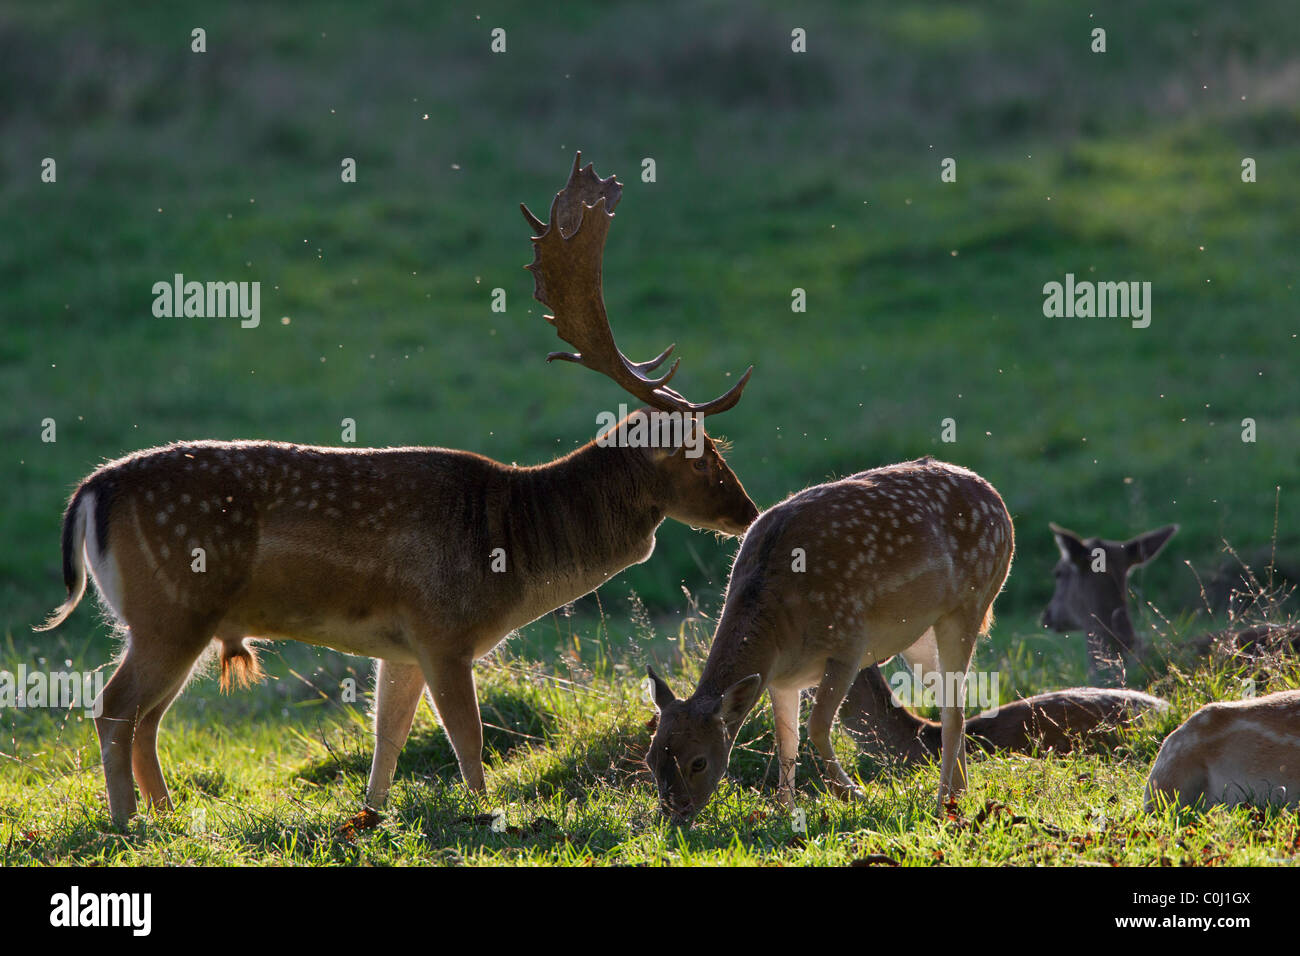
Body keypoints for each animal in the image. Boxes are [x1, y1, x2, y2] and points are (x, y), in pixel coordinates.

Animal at [34, 153, 759, 827]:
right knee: (114, 707)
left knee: (147, 717)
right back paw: (125, 821)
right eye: (703, 456)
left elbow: (389, 736)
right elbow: (467, 738)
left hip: (166, 618)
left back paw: (165, 813)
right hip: (172, 606)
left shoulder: (401, 645)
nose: (748, 512)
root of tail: (92, 490)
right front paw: (487, 812)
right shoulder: (443, 628)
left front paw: (371, 813)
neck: (515, 545)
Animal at [645, 458, 1014, 825]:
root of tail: (998, 503)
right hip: (919, 635)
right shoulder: (781, 680)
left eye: (698, 762)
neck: (781, 631)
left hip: (969, 602)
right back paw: (958, 793)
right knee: (953, 698)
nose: (674, 817)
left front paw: (853, 794)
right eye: (651, 757)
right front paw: (785, 811)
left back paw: (942, 804)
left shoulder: (848, 644)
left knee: (954, 709)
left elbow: (817, 727)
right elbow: (786, 742)